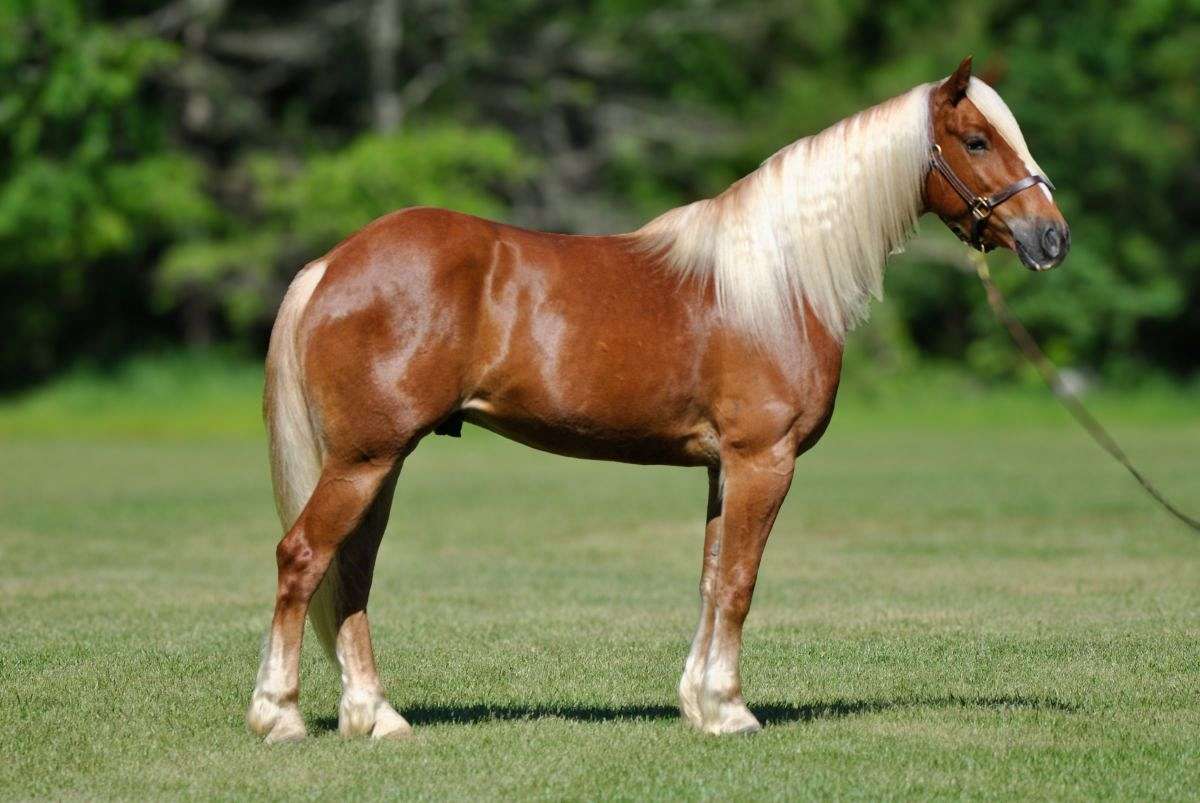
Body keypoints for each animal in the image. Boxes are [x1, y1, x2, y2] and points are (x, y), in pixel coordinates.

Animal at [247, 57, 1069, 742]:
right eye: (976, 140)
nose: (1052, 238)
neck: (779, 281)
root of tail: (332, 263)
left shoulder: (722, 467)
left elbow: (710, 579)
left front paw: (700, 704)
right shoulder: (763, 460)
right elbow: (738, 582)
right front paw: (732, 711)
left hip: (377, 461)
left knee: (350, 573)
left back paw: (376, 716)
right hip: (365, 457)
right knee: (302, 558)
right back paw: (280, 715)